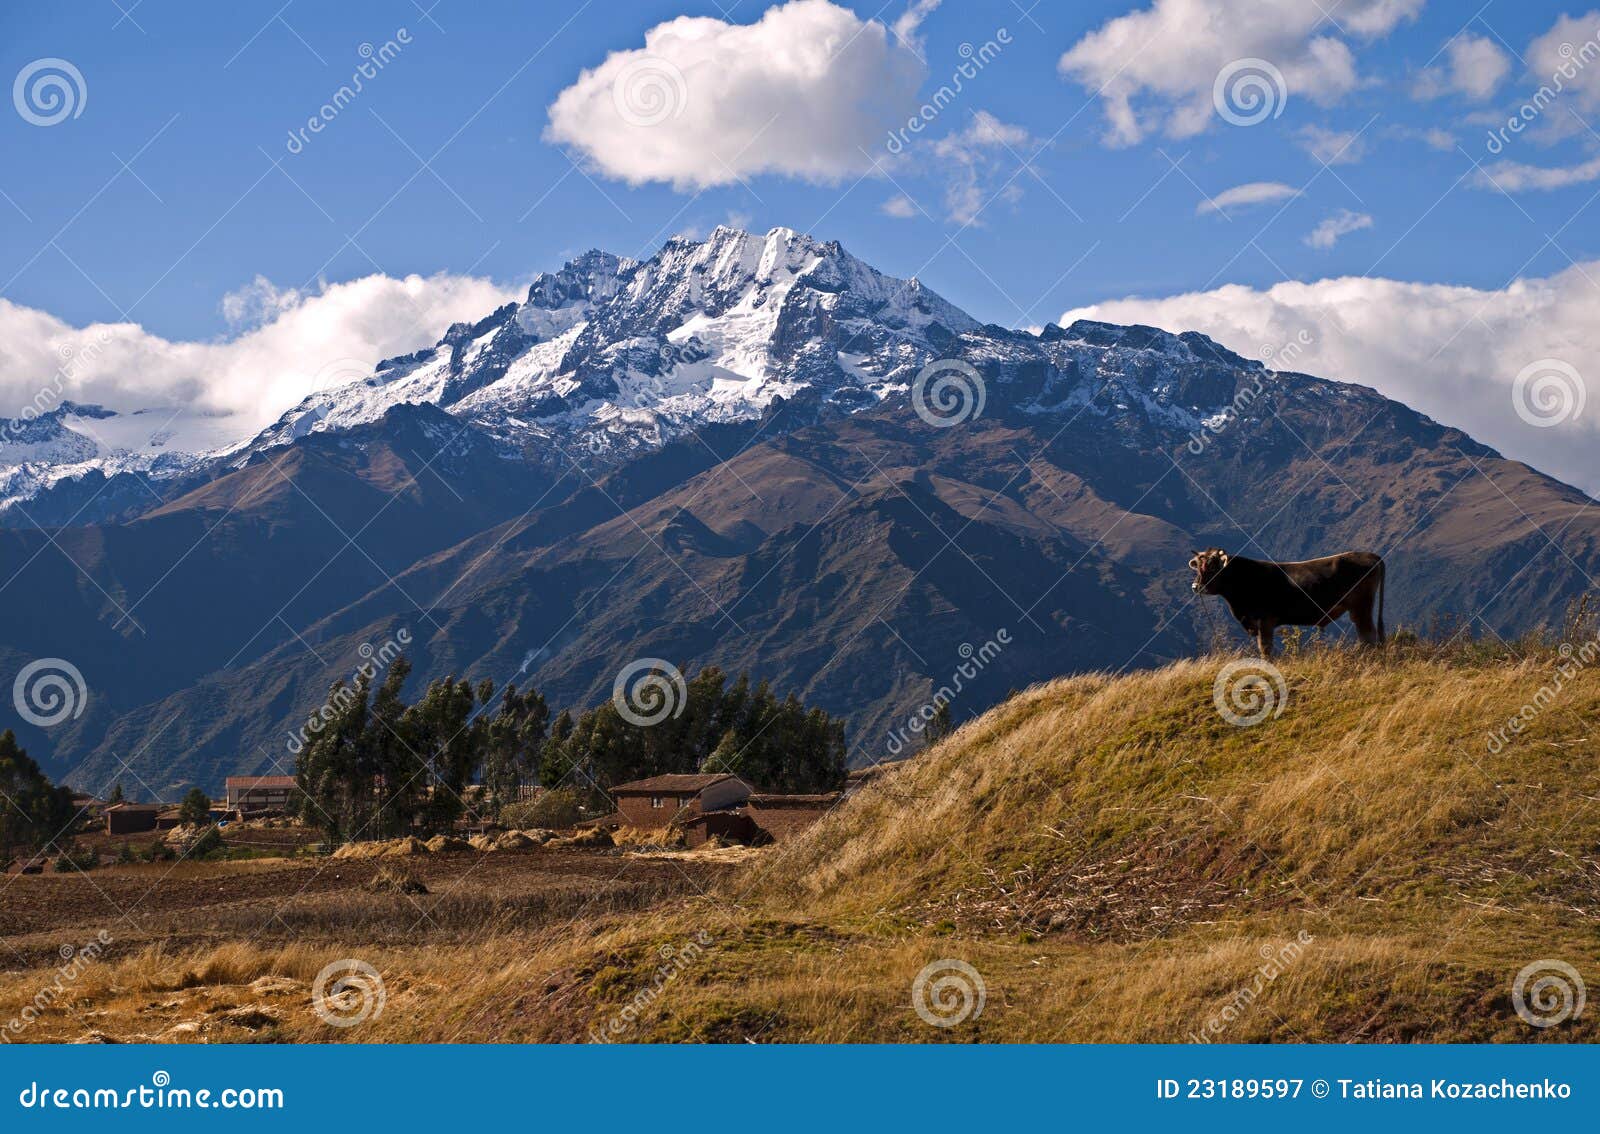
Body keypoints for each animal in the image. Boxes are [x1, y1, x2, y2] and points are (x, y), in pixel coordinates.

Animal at [1188, 548, 1385, 658]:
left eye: (1213, 567)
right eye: (1197, 567)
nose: (1195, 586)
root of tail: (1373, 556)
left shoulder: (1265, 621)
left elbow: (1265, 649)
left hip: (1362, 607)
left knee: (1367, 635)